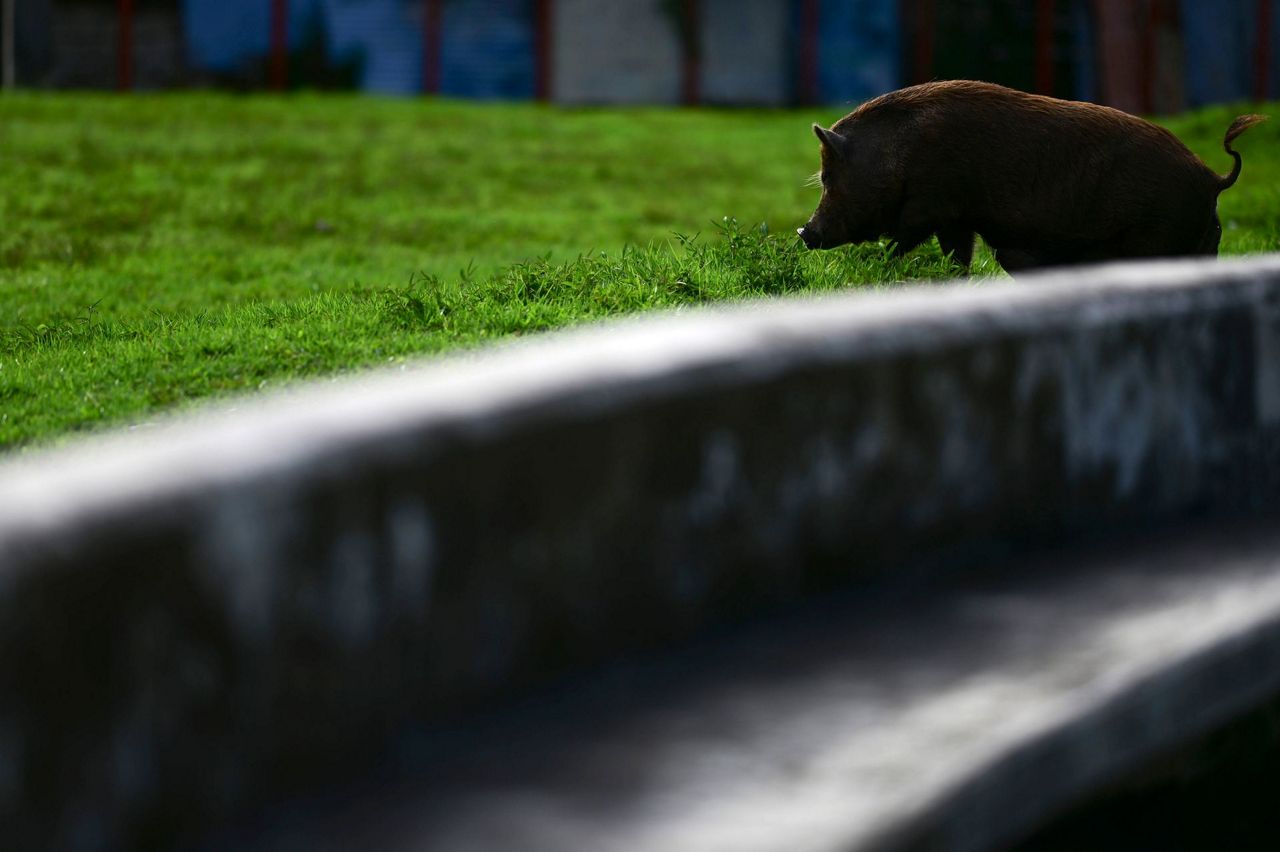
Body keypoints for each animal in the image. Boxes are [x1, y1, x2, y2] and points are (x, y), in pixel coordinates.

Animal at [797, 80, 1266, 274]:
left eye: (827, 177)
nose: (804, 231)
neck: (897, 157)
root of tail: (1213, 178)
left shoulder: (933, 205)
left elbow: (902, 242)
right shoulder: (957, 218)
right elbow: (957, 257)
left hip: (1157, 237)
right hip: (1207, 241)